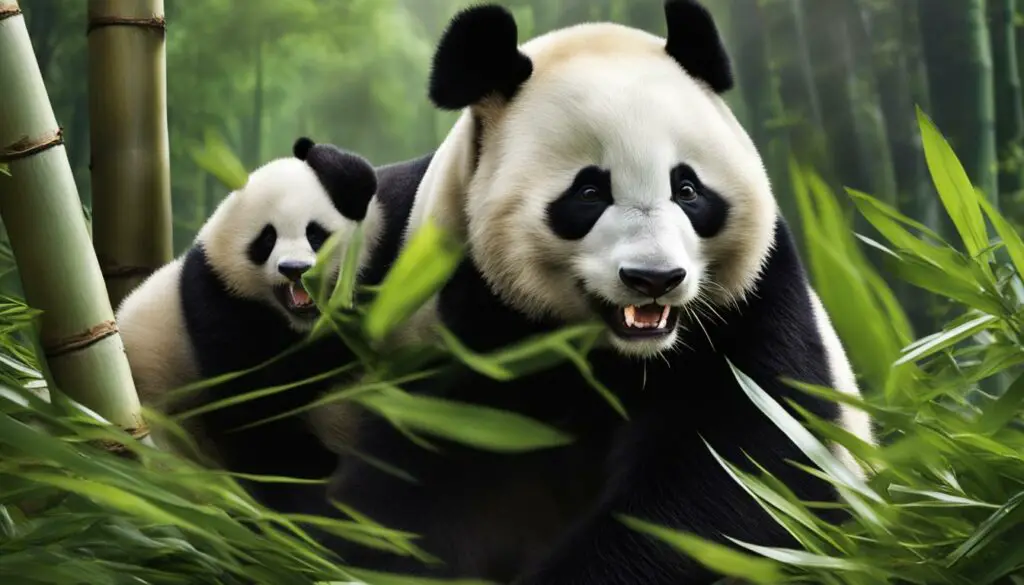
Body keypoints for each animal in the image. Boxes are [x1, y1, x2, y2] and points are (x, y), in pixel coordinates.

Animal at [310, 2, 877, 584]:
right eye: (588, 192)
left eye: (687, 189)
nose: (655, 279)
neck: (613, 353)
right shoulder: (426, 314)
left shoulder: (749, 302)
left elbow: (744, 466)